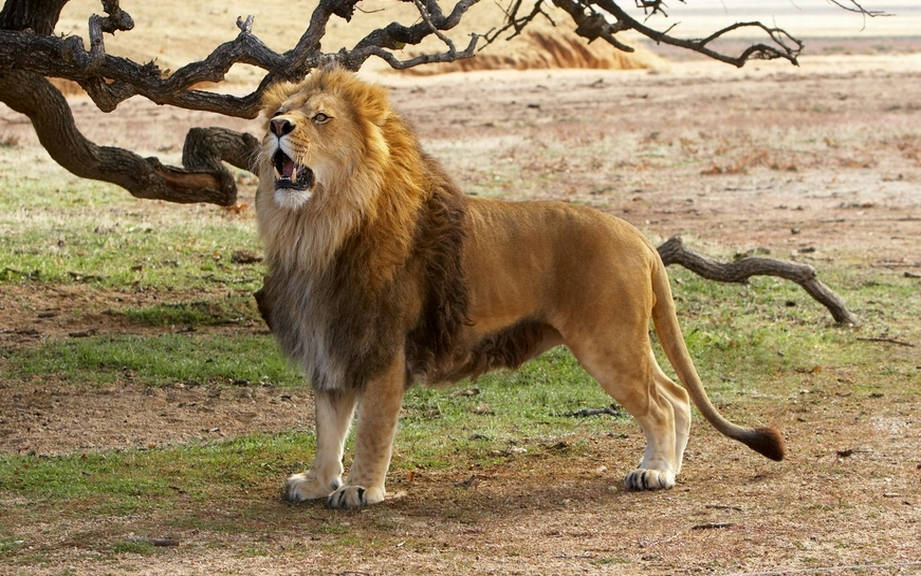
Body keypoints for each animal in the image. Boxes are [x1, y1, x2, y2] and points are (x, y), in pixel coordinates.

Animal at [255, 67, 785, 509]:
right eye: (280, 115)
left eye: (320, 117)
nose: (279, 127)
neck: (318, 229)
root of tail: (639, 238)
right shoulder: (332, 344)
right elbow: (328, 427)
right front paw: (317, 482)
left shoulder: (384, 346)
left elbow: (370, 428)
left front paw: (361, 489)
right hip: (622, 341)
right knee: (676, 396)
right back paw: (666, 468)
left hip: (608, 342)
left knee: (661, 403)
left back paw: (654, 473)